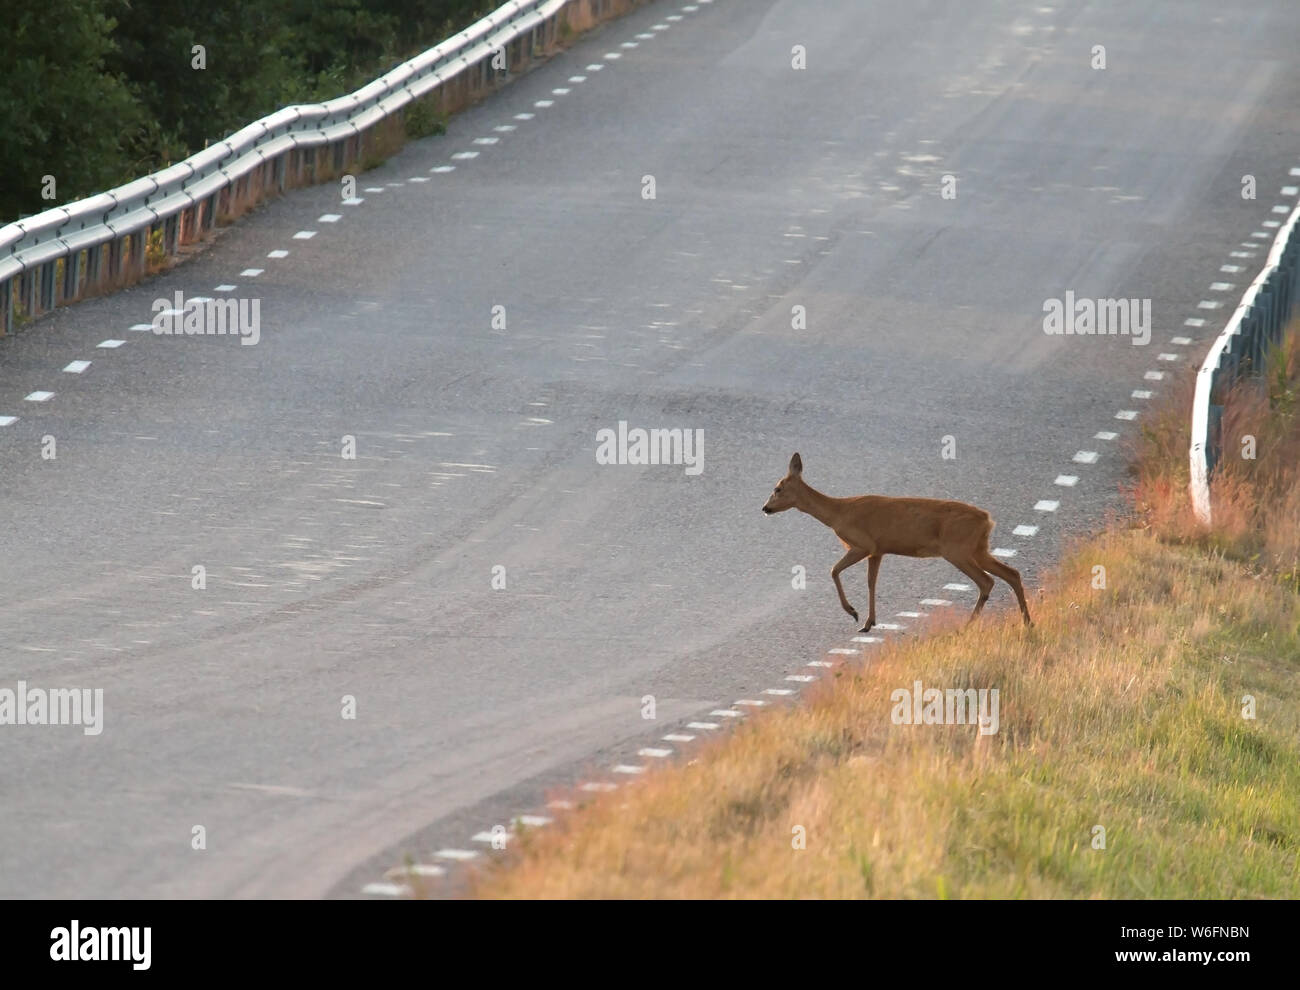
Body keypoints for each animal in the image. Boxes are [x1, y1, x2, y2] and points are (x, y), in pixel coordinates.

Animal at [762, 453, 1031, 631]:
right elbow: (871, 583)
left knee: (987, 581)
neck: (838, 513)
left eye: (777, 488)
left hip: (957, 549)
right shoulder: (878, 551)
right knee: (1012, 573)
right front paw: (869, 622)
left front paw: (853, 613)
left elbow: (834, 570)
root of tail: (987, 519)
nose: (765, 508)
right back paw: (1027, 623)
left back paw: (968, 625)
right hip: (978, 548)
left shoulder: (863, 544)